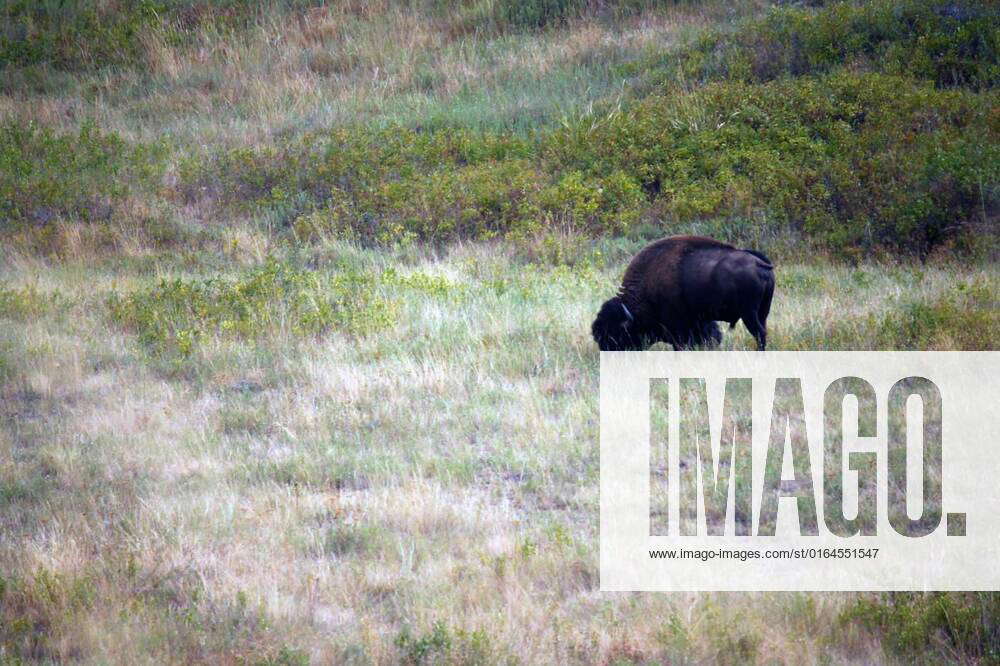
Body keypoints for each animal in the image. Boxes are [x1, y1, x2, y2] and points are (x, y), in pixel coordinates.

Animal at [592, 235, 775, 351]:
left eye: (616, 333)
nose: (605, 350)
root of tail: (760, 264)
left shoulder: (679, 329)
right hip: (762, 312)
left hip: (749, 313)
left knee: (759, 334)